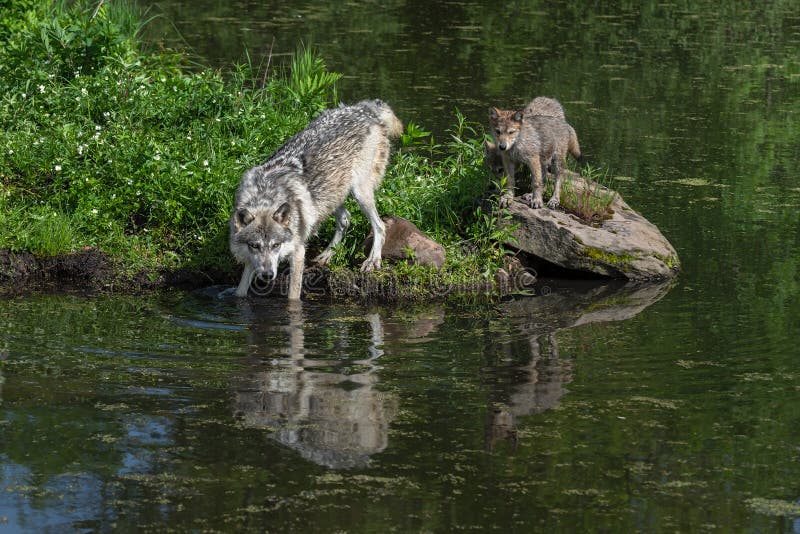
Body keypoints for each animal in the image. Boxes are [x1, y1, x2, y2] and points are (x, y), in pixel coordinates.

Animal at [229, 99, 403, 300]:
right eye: (255, 246)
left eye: (276, 245)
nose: (267, 275)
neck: (265, 196)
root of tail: (364, 107)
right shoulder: (250, 259)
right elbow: (240, 290)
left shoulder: (298, 252)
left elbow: (293, 296)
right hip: (332, 195)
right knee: (346, 219)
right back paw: (326, 255)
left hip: (359, 192)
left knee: (379, 225)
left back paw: (372, 260)